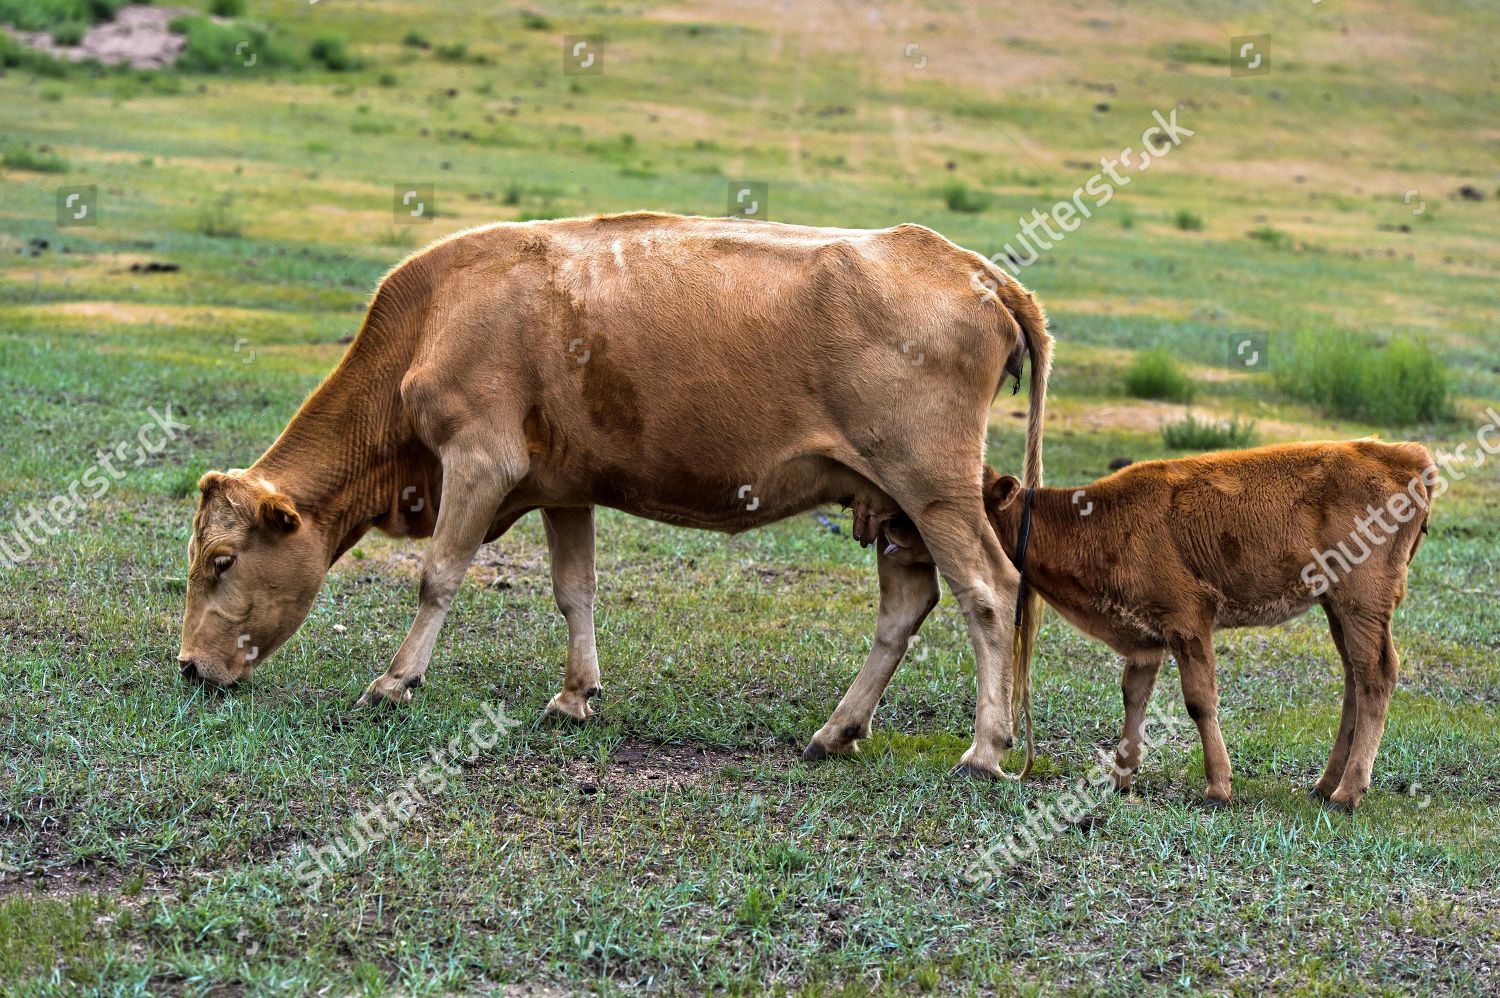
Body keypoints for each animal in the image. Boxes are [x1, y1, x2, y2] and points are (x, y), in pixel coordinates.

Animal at [177, 212, 1052, 779]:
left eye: (221, 559)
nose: (188, 667)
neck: (432, 317)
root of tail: (972, 268)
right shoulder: (563, 484)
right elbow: (576, 589)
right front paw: (575, 695)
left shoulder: (479, 460)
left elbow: (439, 576)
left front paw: (394, 683)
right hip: (896, 504)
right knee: (904, 607)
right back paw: (837, 730)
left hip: (932, 485)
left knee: (989, 589)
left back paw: (984, 751)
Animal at [874, 440, 1437, 809]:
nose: (891, 525)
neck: (1094, 522)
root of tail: (1405, 455)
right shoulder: (1144, 638)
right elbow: (1134, 695)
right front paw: (1123, 776)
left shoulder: (1188, 620)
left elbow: (1199, 701)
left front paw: (1217, 786)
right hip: (1338, 606)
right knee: (1354, 679)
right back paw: (1324, 785)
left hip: (1362, 600)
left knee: (1376, 675)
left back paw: (1347, 792)